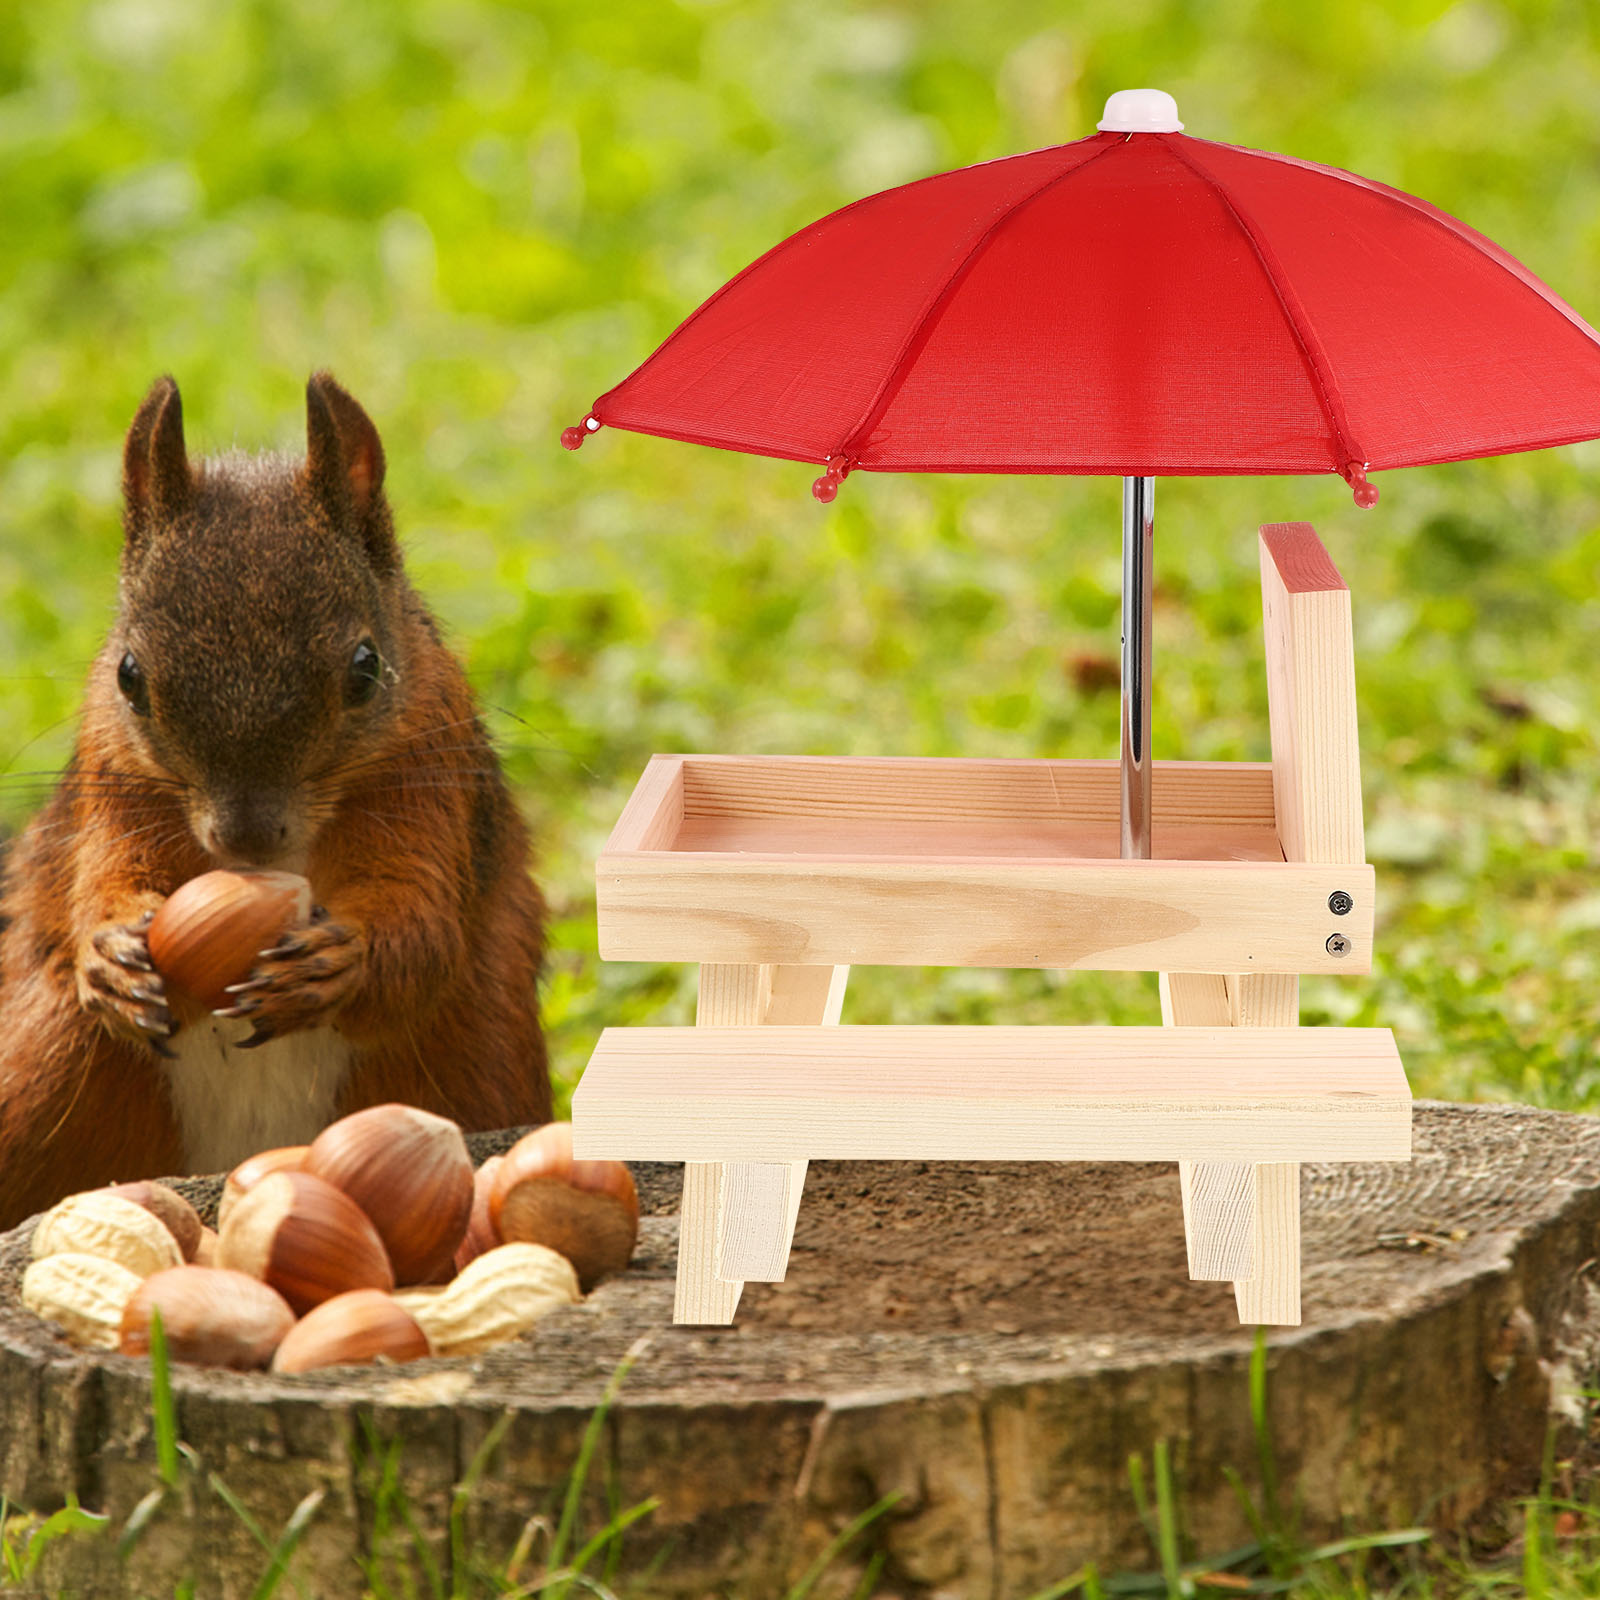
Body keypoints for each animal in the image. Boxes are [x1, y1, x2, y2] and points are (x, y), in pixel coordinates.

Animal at [0, 373, 553, 1230]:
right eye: (129, 675)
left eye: (366, 667)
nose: (246, 838)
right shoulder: (112, 785)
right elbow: (103, 881)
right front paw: (110, 957)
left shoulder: (432, 781)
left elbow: (423, 932)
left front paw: (334, 965)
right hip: (41, 1076)